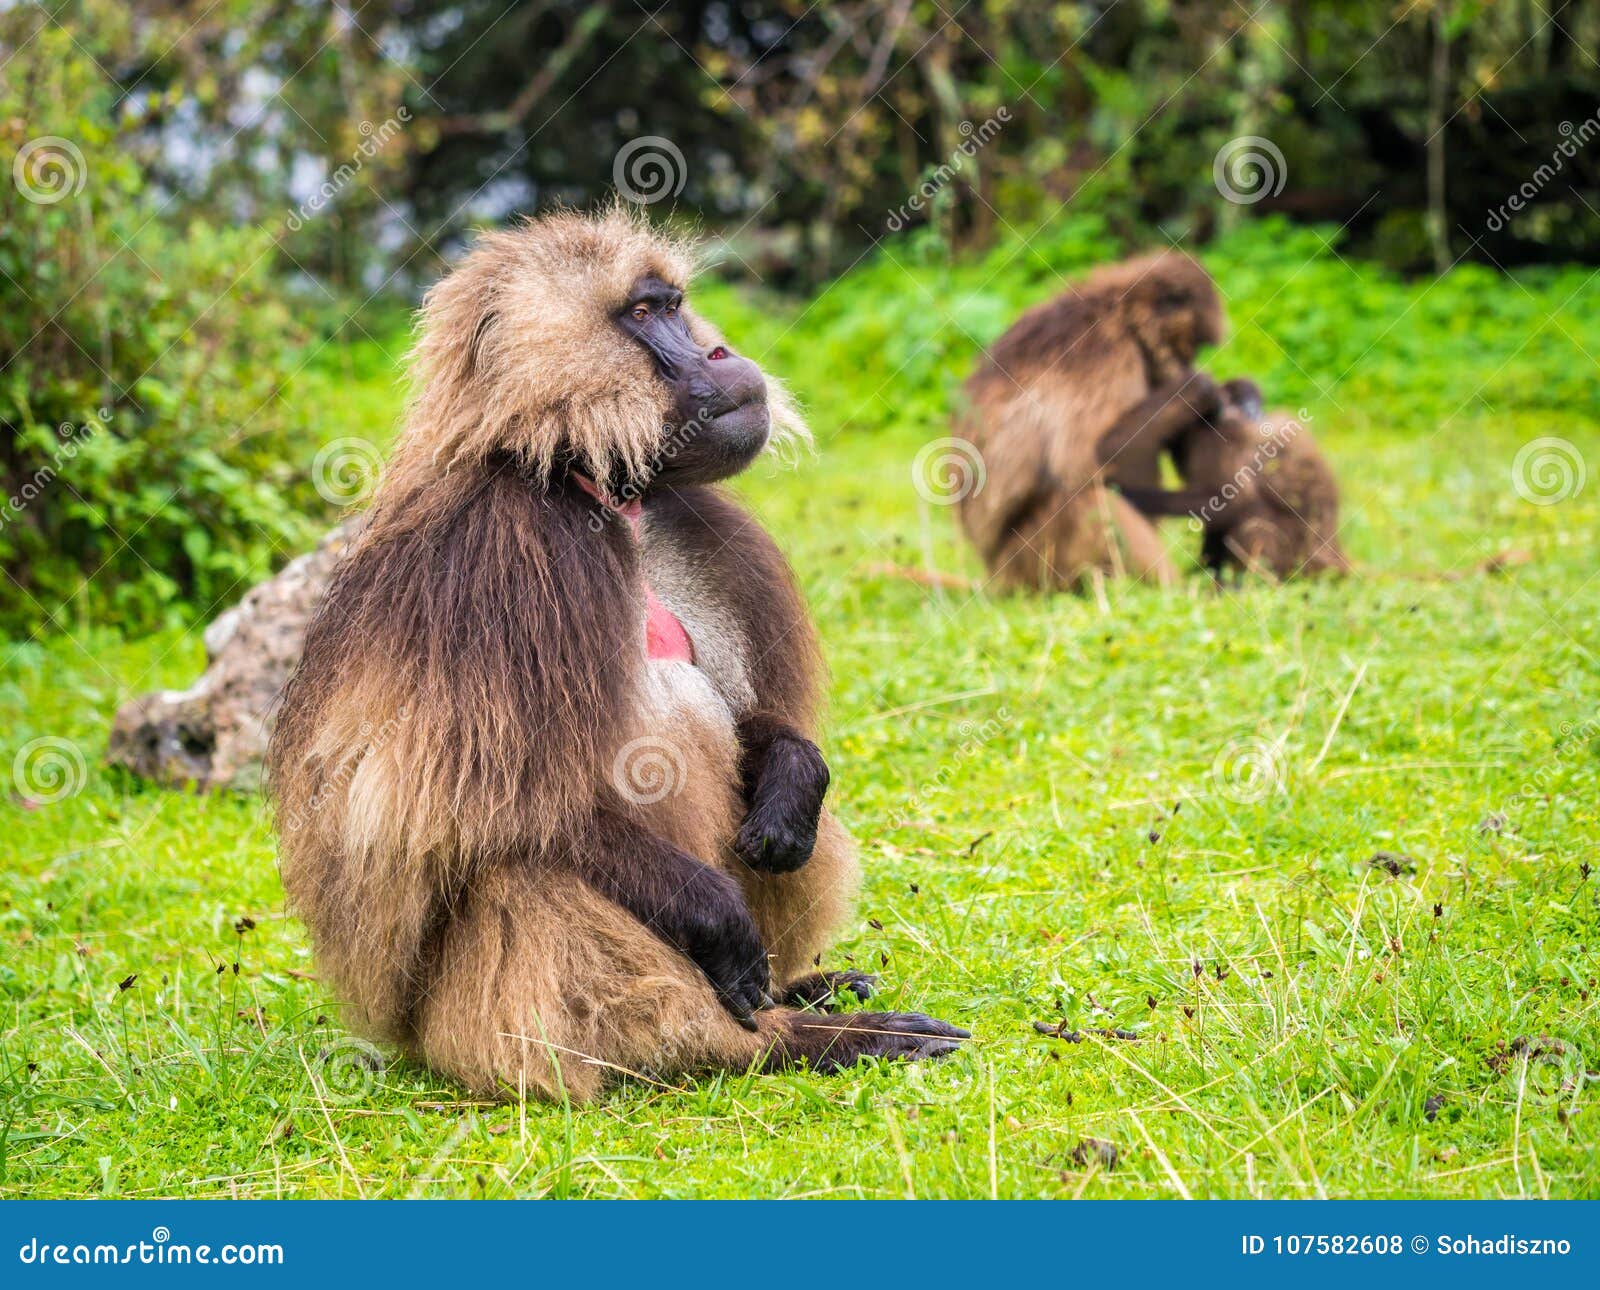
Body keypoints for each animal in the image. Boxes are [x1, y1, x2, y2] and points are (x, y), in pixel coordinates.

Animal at [267, 207, 968, 1102]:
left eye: (674, 304)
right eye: (642, 314)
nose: (720, 352)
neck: (600, 492)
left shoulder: (693, 532)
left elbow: (755, 734)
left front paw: (793, 778)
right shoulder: (504, 555)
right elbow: (472, 810)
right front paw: (715, 917)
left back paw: (799, 987)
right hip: (463, 1017)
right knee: (542, 850)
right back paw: (796, 1038)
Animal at [952, 251, 1225, 591]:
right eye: (1193, 345)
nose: (1187, 362)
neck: (1121, 311)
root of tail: (996, 575)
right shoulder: (1108, 353)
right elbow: (1084, 461)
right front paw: (1196, 390)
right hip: (1033, 560)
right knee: (1087, 495)